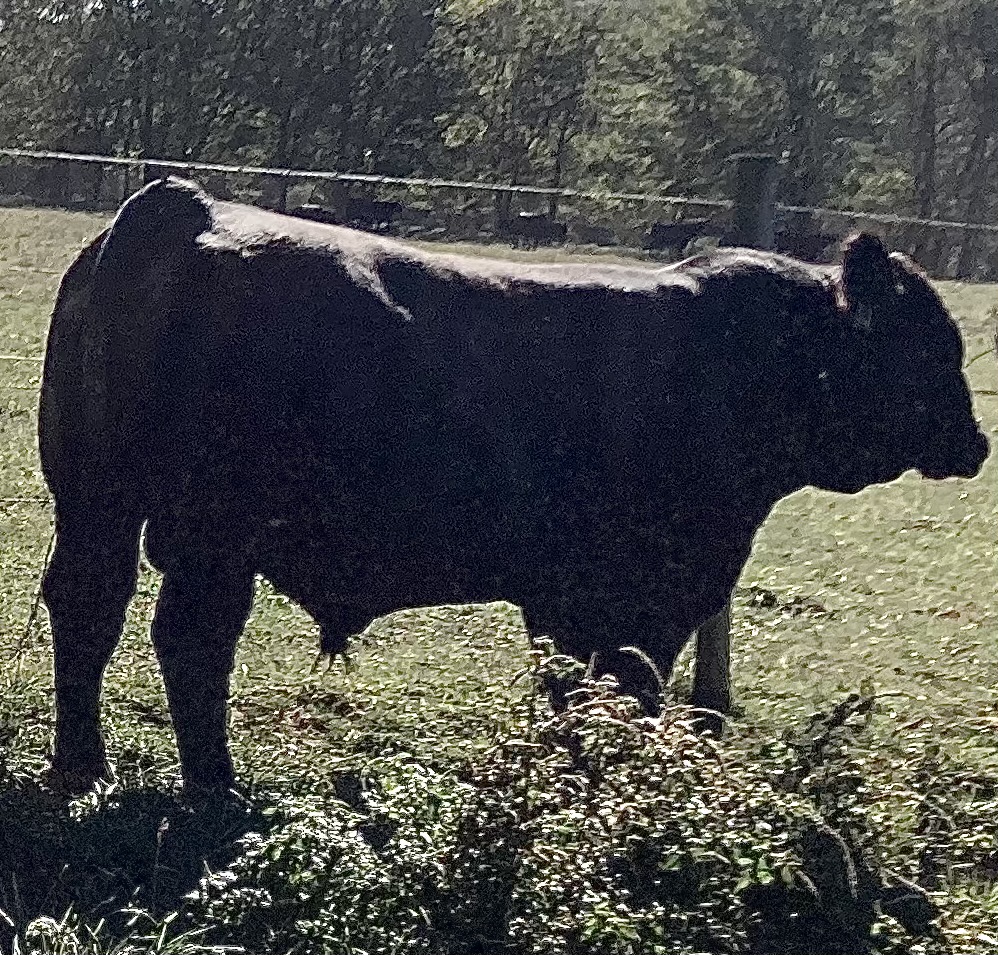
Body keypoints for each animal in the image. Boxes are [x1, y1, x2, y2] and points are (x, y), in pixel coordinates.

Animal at [39, 178, 988, 794]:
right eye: (931, 348)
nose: (976, 442)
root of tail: (181, 204)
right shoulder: (639, 592)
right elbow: (620, 695)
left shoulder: (575, 601)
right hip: (210, 532)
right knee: (189, 639)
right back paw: (212, 787)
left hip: (100, 505)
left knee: (93, 609)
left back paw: (86, 766)